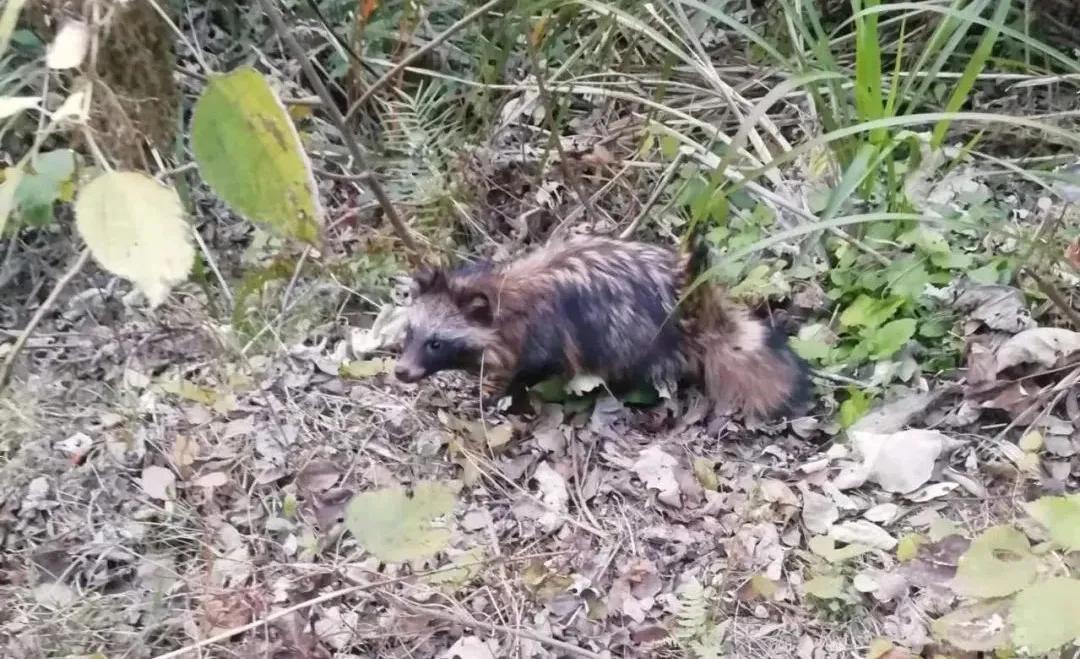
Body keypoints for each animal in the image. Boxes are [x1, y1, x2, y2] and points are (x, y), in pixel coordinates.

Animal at [393, 235, 809, 420]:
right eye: (410, 333)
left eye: (435, 343)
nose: (400, 371)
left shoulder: (543, 334)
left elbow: (532, 368)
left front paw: (502, 396)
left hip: (635, 334)